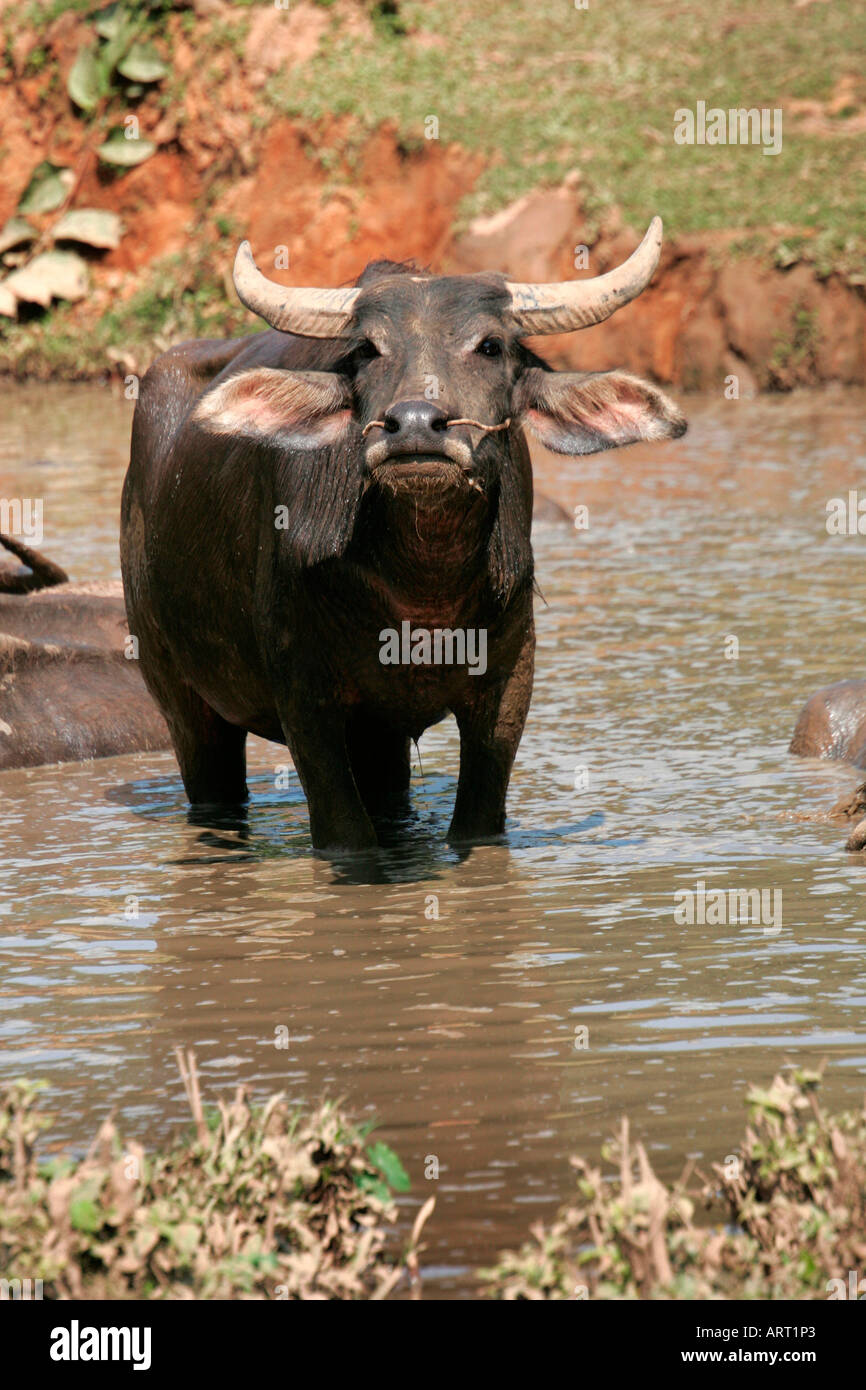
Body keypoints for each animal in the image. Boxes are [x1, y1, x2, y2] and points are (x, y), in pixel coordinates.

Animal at [121, 219, 686, 850]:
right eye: (369, 349)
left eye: (490, 345)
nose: (415, 425)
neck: (423, 591)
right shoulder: (306, 702)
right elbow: (348, 836)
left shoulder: (509, 686)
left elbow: (477, 826)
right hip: (181, 702)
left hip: (378, 739)